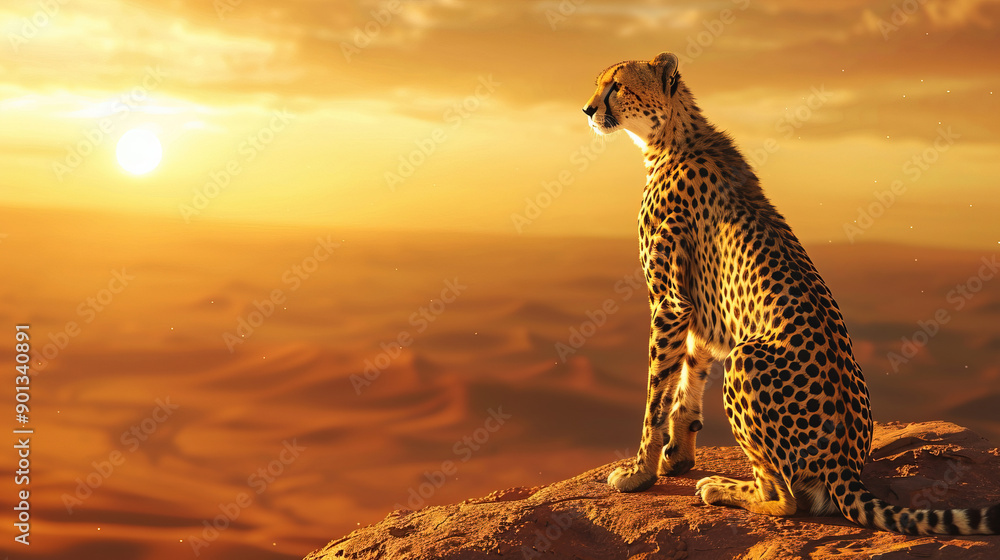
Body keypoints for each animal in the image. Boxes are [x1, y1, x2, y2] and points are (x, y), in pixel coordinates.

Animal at [582, 51, 1000, 535]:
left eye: (616, 86)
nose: (587, 110)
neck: (669, 137)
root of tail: (846, 466)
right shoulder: (701, 306)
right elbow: (689, 378)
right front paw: (676, 458)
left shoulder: (669, 302)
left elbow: (657, 393)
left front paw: (639, 472)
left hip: (746, 356)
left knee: (785, 499)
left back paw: (723, 489)